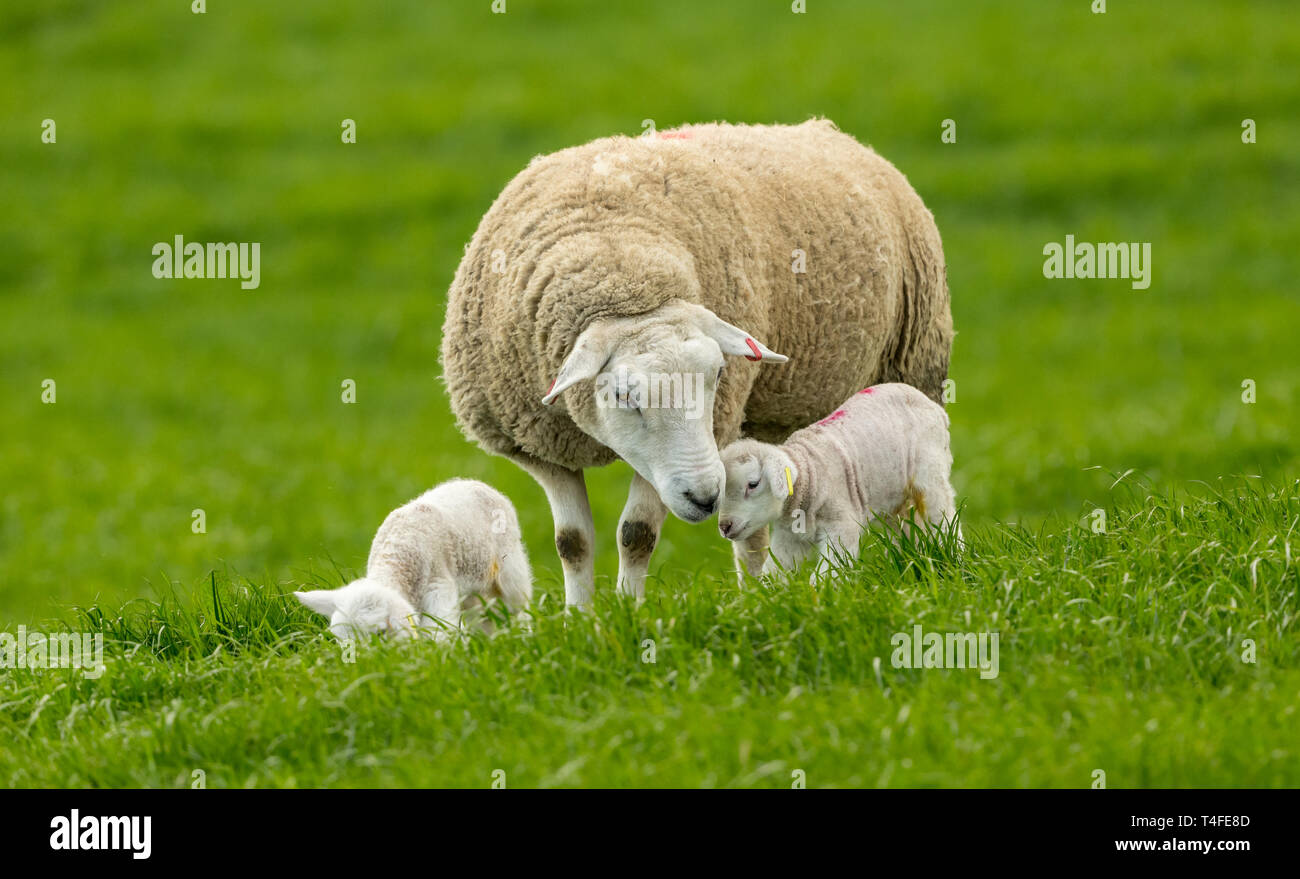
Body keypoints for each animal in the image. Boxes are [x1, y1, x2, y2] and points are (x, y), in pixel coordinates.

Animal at [294, 479, 532, 640]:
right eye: (342, 641)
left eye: (380, 633)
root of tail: (474, 483)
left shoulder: (439, 585)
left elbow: (437, 630)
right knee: (482, 614)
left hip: (509, 567)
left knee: (519, 603)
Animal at [717, 383, 958, 581]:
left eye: (753, 484)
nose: (724, 526)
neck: (810, 474)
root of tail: (935, 408)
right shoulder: (790, 538)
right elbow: (774, 571)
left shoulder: (842, 524)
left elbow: (828, 572)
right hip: (892, 494)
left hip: (930, 473)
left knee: (943, 517)